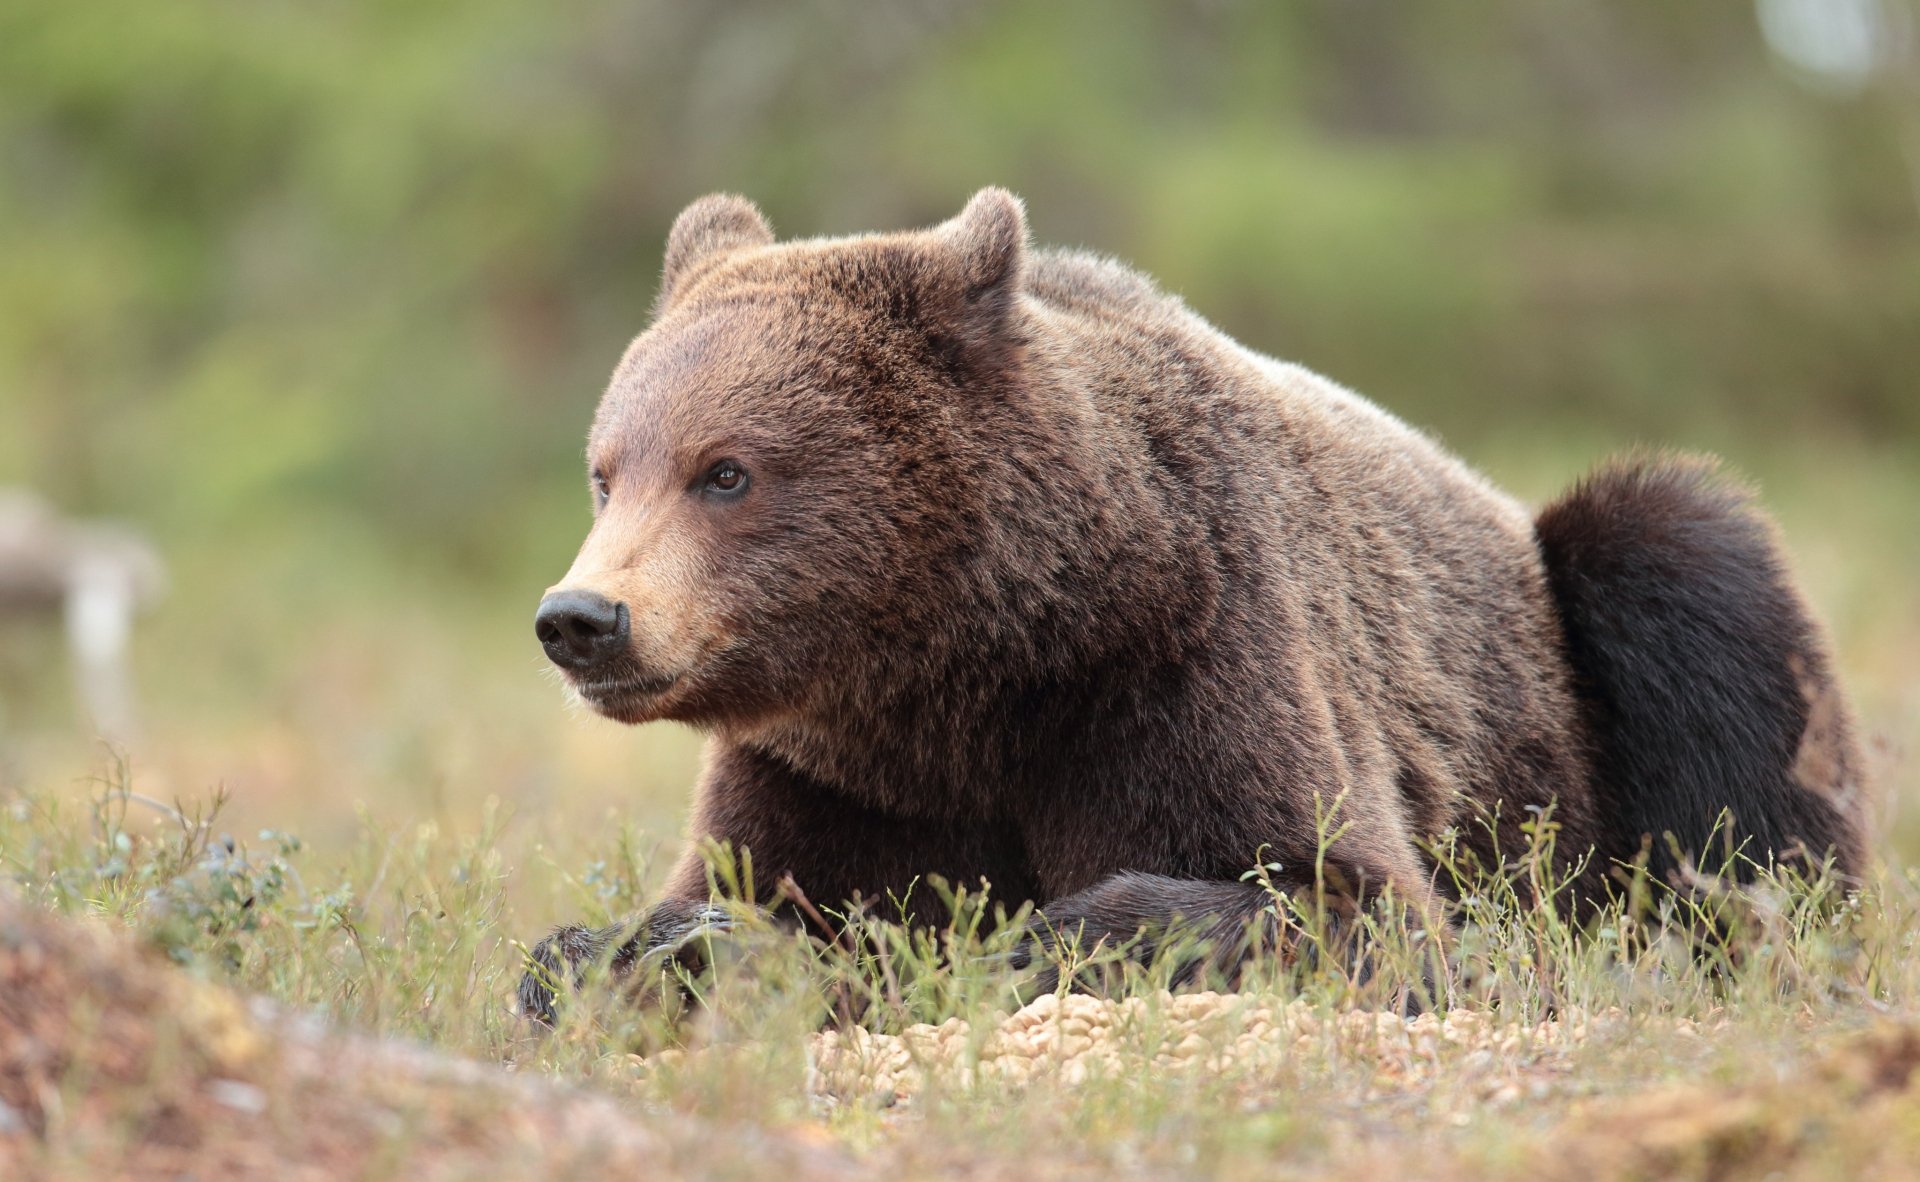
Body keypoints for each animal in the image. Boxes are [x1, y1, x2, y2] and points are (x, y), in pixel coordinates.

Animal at [518, 188, 1866, 1022]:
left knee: (1694, 600)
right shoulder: (841, 771)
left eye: (726, 471)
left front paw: (1051, 935)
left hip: (1565, 662)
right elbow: (739, 895)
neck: (967, 666)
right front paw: (643, 951)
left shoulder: (1189, 654)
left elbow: (1355, 904)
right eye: (606, 468)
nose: (582, 618)